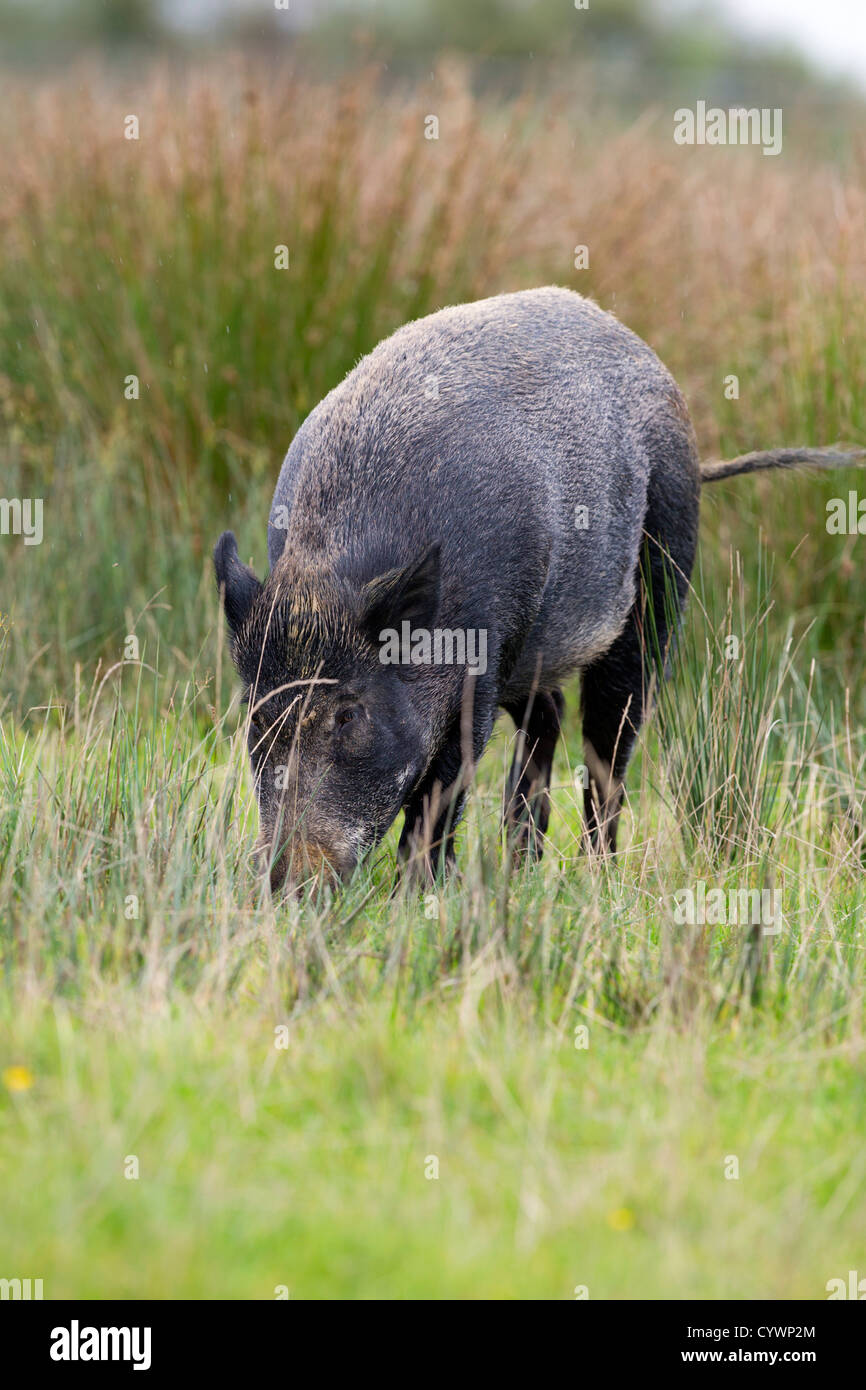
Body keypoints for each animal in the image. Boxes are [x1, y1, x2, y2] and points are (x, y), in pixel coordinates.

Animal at [214, 286, 863, 889]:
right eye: (255, 714)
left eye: (349, 714)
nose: (285, 881)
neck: (334, 562)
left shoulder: (480, 658)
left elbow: (443, 787)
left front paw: (417, 896)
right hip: (534, 648)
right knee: (549, 714)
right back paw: (521, 868)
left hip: (658, 580)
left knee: (610, 743)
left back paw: (593, 877)